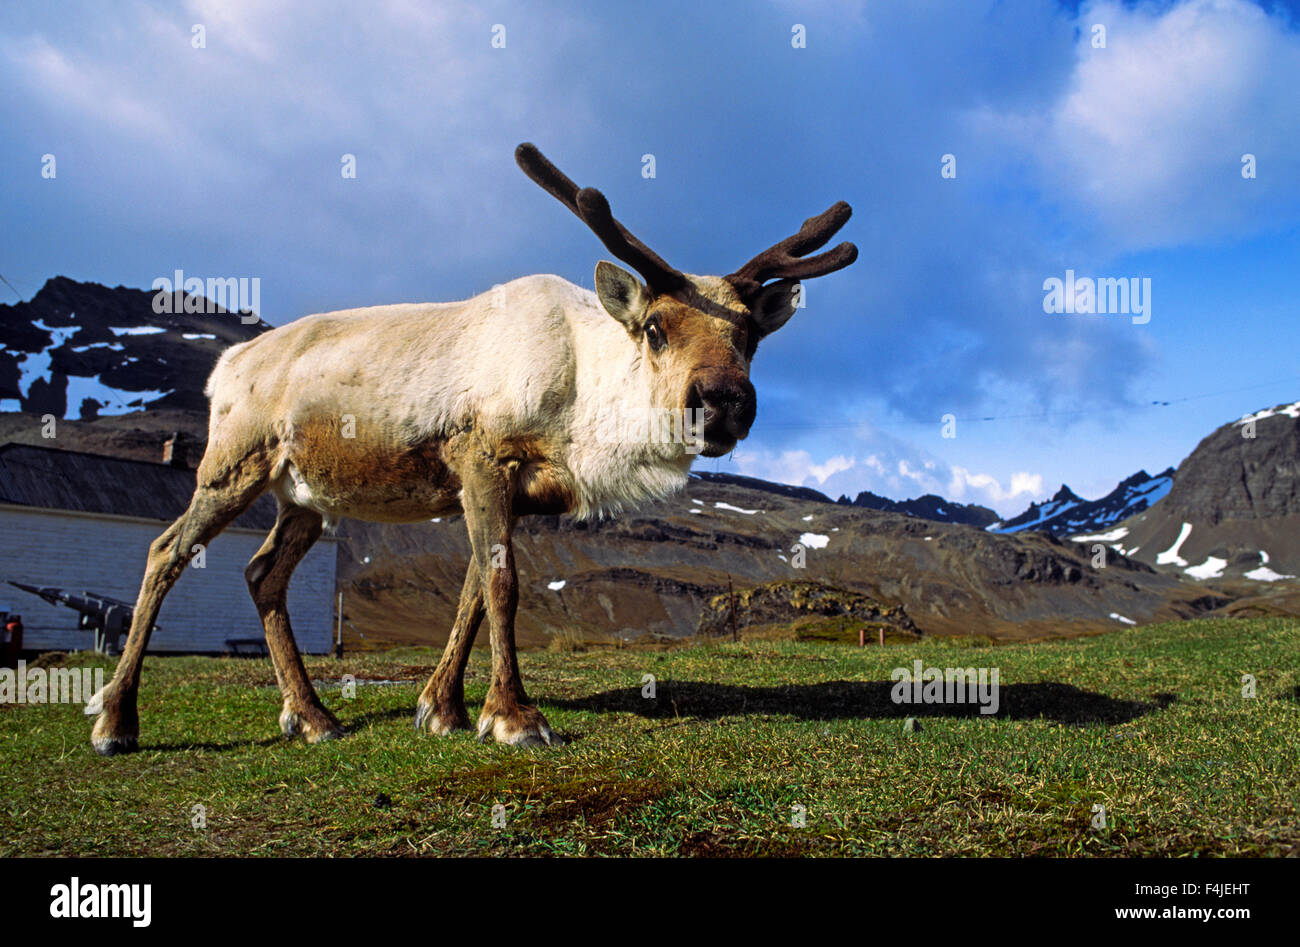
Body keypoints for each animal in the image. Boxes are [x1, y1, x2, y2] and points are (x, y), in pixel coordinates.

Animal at [88, 143, 857, 754]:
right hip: (232, 466)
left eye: (750, 337)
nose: (723, 400)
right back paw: (116, 721)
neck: (583, 399)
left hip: (304, 494)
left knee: (261, 574)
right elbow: (502, 586)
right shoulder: (484, 457)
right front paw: (515, 717)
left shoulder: (510, 490)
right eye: (657, 328)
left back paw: (312, 717)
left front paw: (442, 708)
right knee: (165, 551)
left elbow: (472, 590)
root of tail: (226, 365)